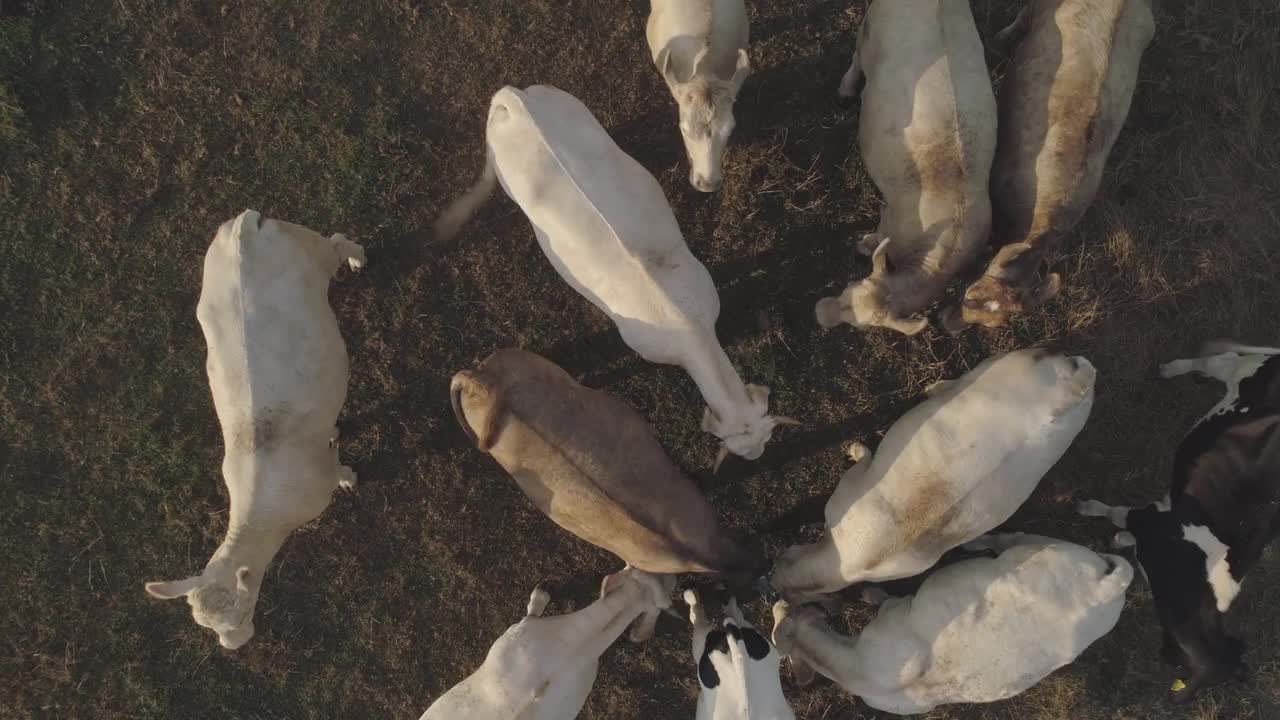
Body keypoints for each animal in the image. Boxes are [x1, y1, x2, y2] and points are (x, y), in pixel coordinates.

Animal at [144, 210, 364, 649]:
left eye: (243, 613)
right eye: (205, 625)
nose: (234, 646)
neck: (260, 512)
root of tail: (245, 227)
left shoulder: (320, 479)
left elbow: (339, 468)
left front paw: (350, 477)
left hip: (312, 250)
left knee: (336, 241)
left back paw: (357, 259)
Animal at [767, 349, 1095, 603]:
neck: (847, 561)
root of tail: (1071, 389)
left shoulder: (846, 491)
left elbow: (862, 460)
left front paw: (856, 448)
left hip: (997, 365)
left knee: (955, 383)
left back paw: (934, 387)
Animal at [771, 534, 1132, 714]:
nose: (776, 602)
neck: (860, 670)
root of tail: (1107, 587)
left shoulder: (895, 610)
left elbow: (885, 599)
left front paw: (870, 592)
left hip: (1043, 551)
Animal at [815, 0, 996, 335]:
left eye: (860, 326)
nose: (820, 314)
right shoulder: (889, 222)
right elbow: (875, 237)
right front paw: (864, 245)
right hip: (871, 29)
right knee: (857, 56)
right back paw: (846, 89)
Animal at [1077, 340, 1280, 702]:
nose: (1172, 700)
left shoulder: (1150, 520)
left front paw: (1118, 538)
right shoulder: (1148, 518)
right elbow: (1113, 511)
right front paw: (1087, 507)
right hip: (1240, 372)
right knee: (1219, 360)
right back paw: (1170, 369)